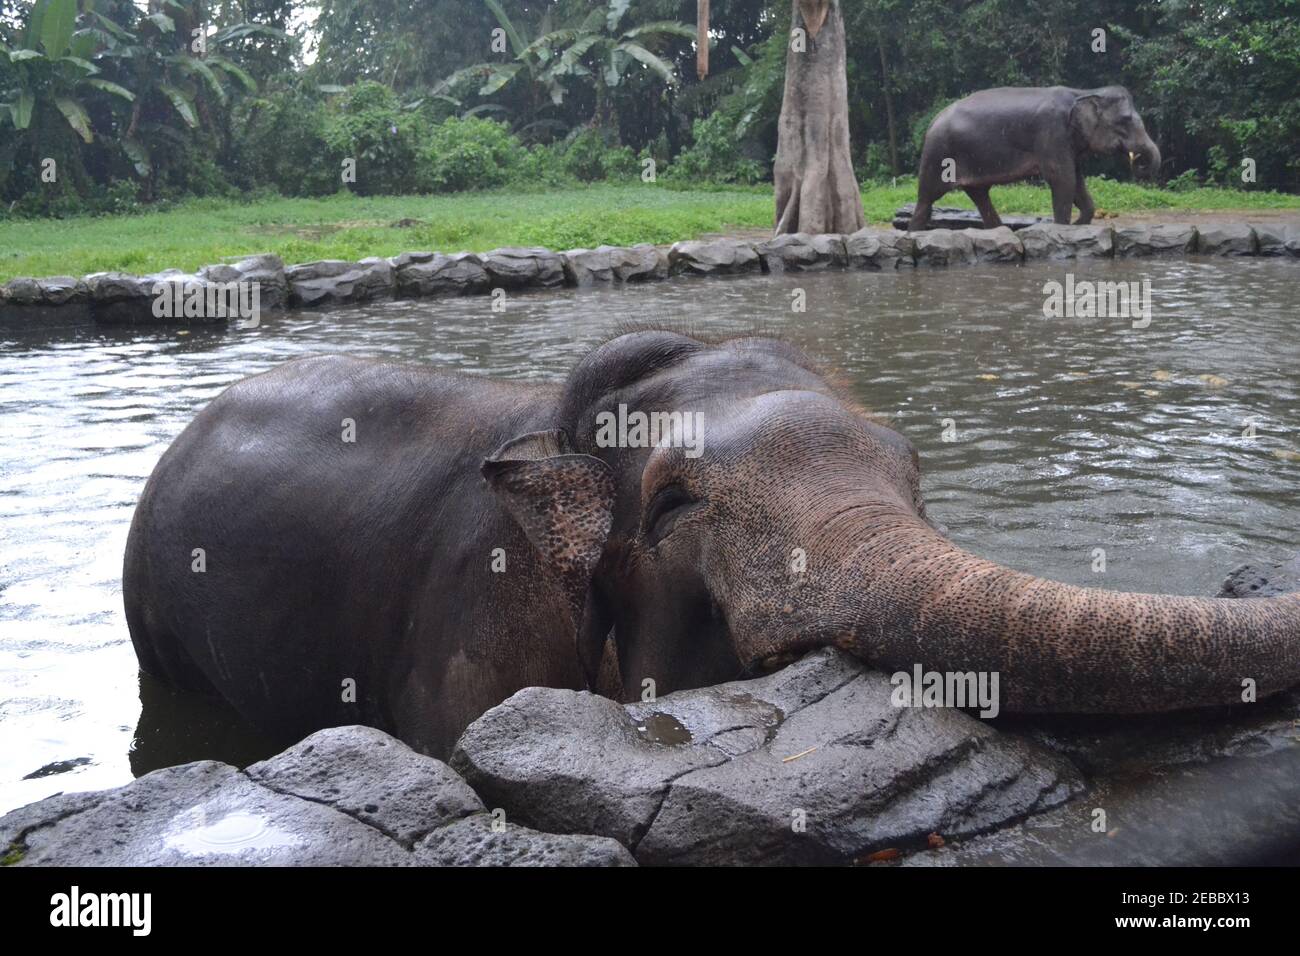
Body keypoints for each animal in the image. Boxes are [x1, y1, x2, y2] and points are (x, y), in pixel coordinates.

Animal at [909, 86, 1161, 231]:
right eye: (1125, 120)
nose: (1138, 162)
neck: (1083, 92)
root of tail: (932, 122)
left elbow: (1076, 178)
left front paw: (1078, 224)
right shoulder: (1051, 133)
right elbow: (1062, 178)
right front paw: (1063, 227)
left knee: (980, 195)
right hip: (938, 155)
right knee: (927, 199)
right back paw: (914, 233)